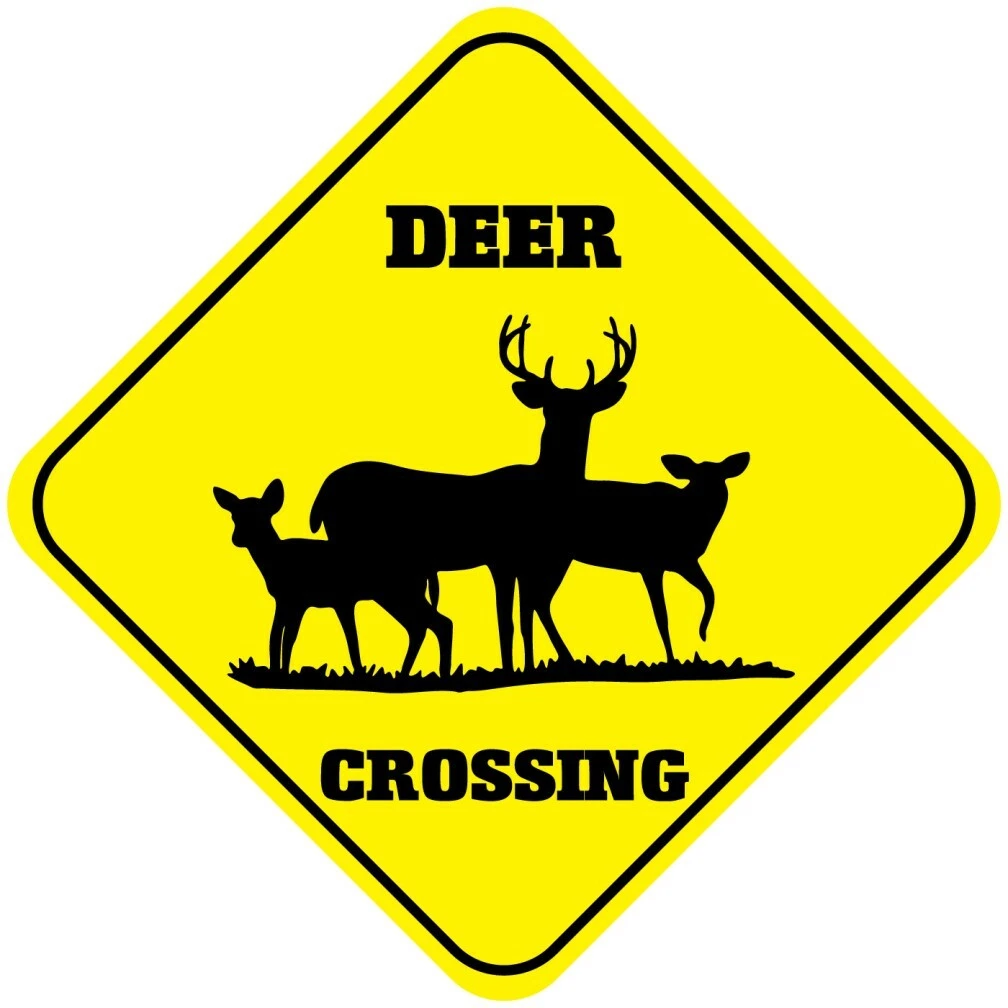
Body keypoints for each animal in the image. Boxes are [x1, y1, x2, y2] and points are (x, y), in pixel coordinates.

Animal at [214, 479, 452, 676]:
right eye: (234, 516)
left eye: (260, 516)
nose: (237, 538)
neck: (276, 560)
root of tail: (428, 567)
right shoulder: (291, 601)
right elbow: (281, 636)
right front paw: (279, 672)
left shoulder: (304, 599)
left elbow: (288, 636)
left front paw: (281, 674)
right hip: (396, 596)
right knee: (422, 626)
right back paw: (408, 674)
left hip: (402, 593)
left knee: (437, 623)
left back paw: (438, 675)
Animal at [309, 314, 636, 673]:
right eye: (548, 408)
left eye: (586, 410)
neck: (544, 491)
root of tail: (321, 496)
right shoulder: (501, 556)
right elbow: (507, 620)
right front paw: (511, 670)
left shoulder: (526, 559)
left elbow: (524, 617)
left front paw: (527, 667)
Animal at [519, 452, 751, 663]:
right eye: (695, 477)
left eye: (721, 477)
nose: (712, 496)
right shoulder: (652, 564)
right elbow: (662, 615)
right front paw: (672, 658)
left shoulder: (683, 562)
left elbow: (710, 591)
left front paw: (701, 635)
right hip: (551, 554)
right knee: (536, 600)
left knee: (536, 601)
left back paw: (556, 658)